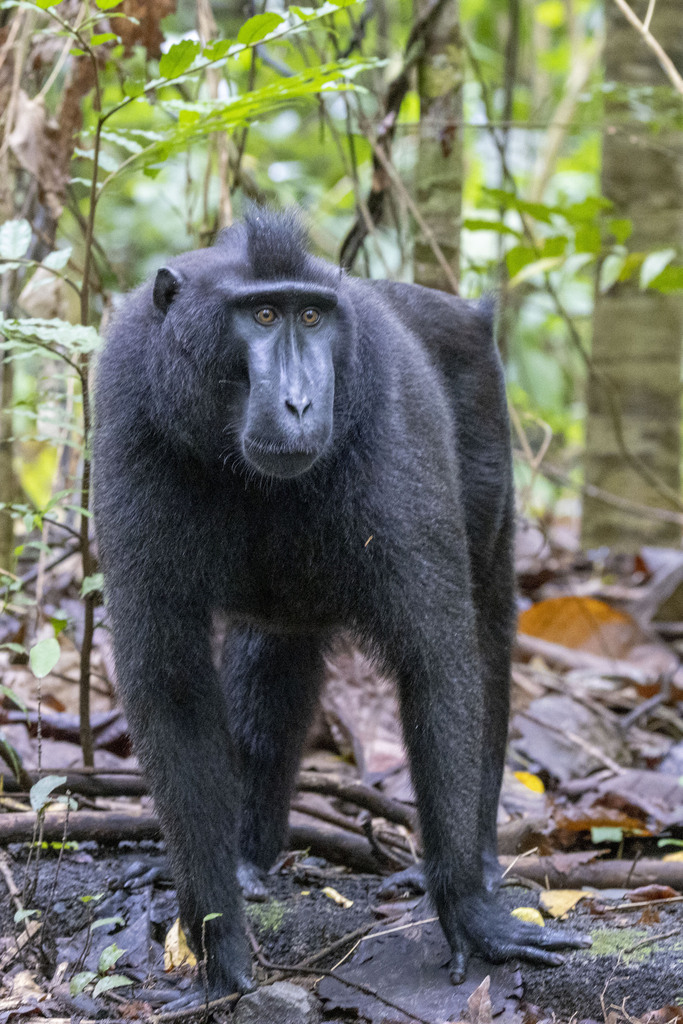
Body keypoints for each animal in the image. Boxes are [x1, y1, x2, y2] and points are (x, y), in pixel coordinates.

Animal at [93, 208, 588, 997]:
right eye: (262, 315)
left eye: (312, 317)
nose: (298, 402)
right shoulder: (129, 411)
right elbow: (170, 685)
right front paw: (217, 941)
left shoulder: (391, 429)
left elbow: (439, 662)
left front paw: (467, 910)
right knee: (271, 654)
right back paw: (246, 857)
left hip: (487, 428)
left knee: (484, 633)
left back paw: (477, 864)